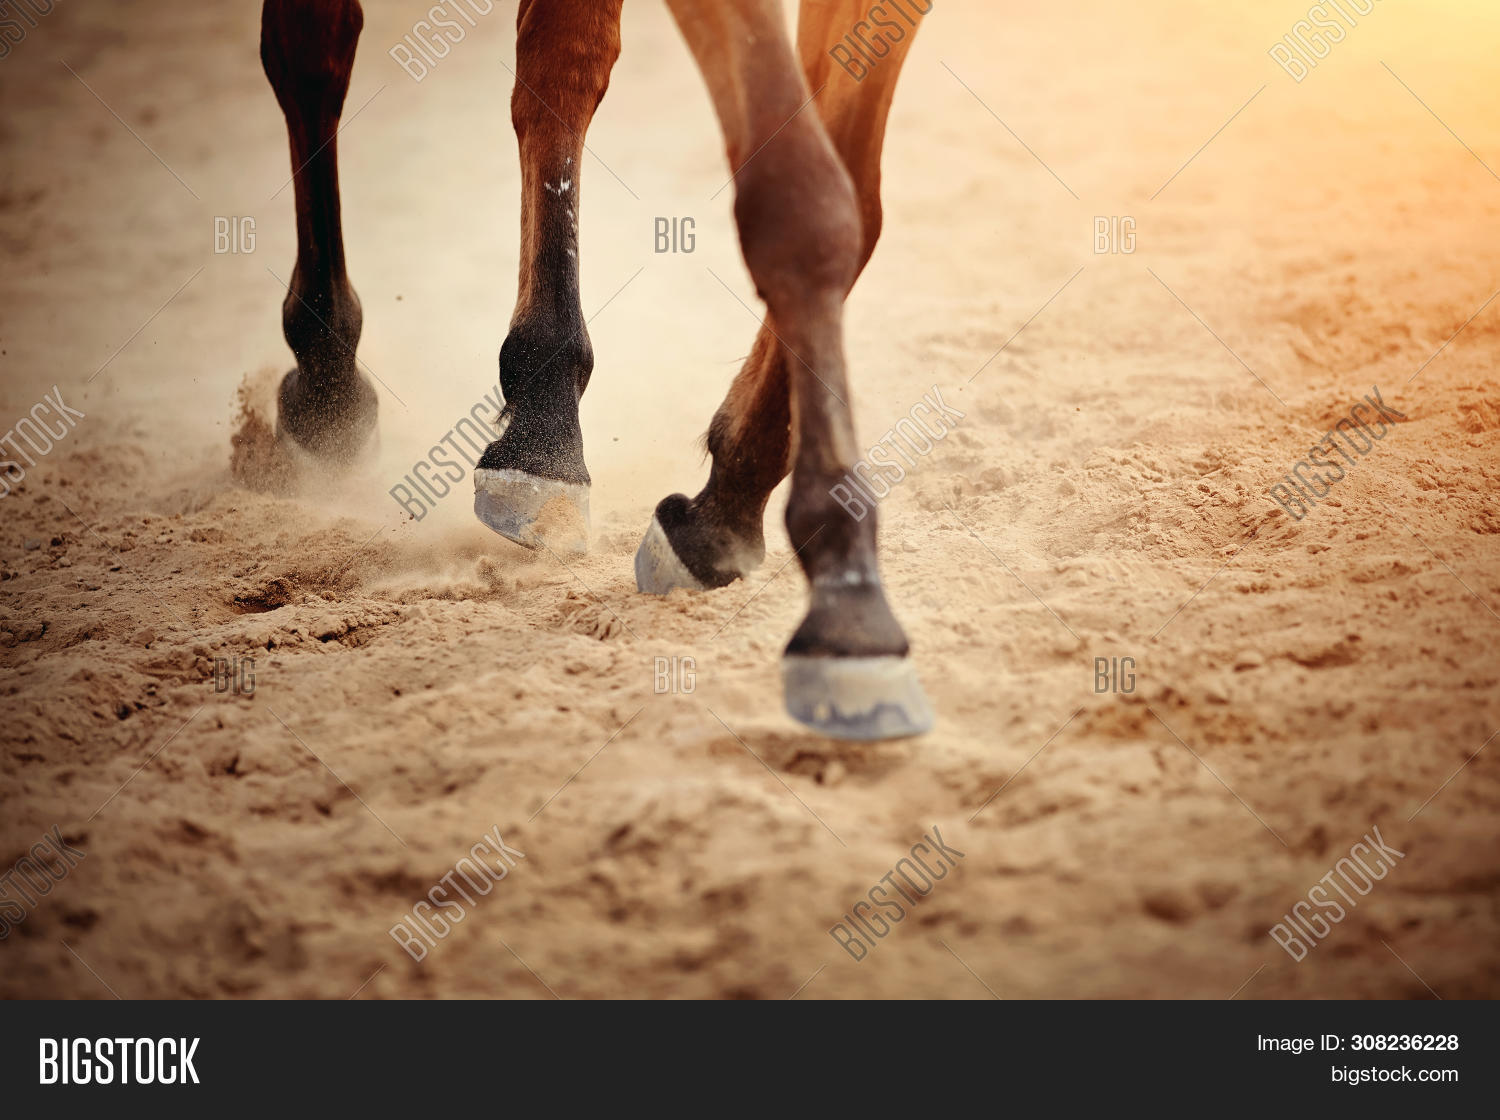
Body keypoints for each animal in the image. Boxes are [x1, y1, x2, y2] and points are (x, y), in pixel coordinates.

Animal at [259, 0, 934, 740]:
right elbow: (800, 206)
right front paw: (850, 611)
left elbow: (854, 207)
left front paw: (725, 510)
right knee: (315, 48)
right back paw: (336, 385)